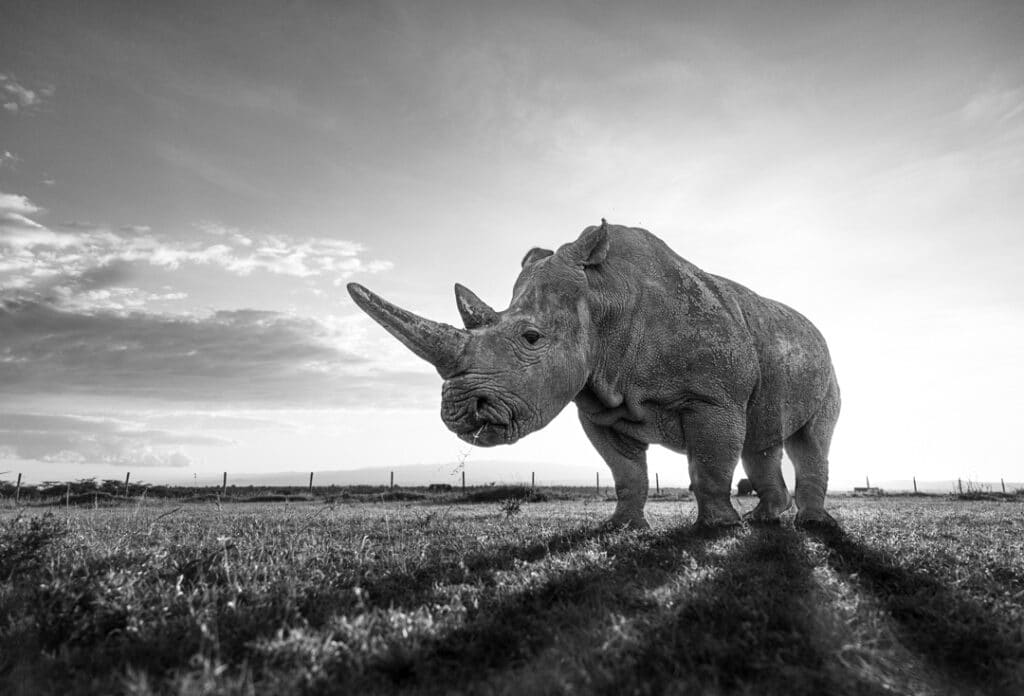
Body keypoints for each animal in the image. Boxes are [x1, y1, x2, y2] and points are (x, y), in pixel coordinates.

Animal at [347, 222, 840, 529]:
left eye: (531, 337)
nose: (459, 413)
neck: (603, 299)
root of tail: (815, 329)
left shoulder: (712, 398)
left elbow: (709, 465)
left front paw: (717, 529)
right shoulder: (600, 406)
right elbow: (626, 473)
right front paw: (622, 527)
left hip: (826, 361)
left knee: (811, 440)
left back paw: (809, 523)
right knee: (762, 439)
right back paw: (768, 520)